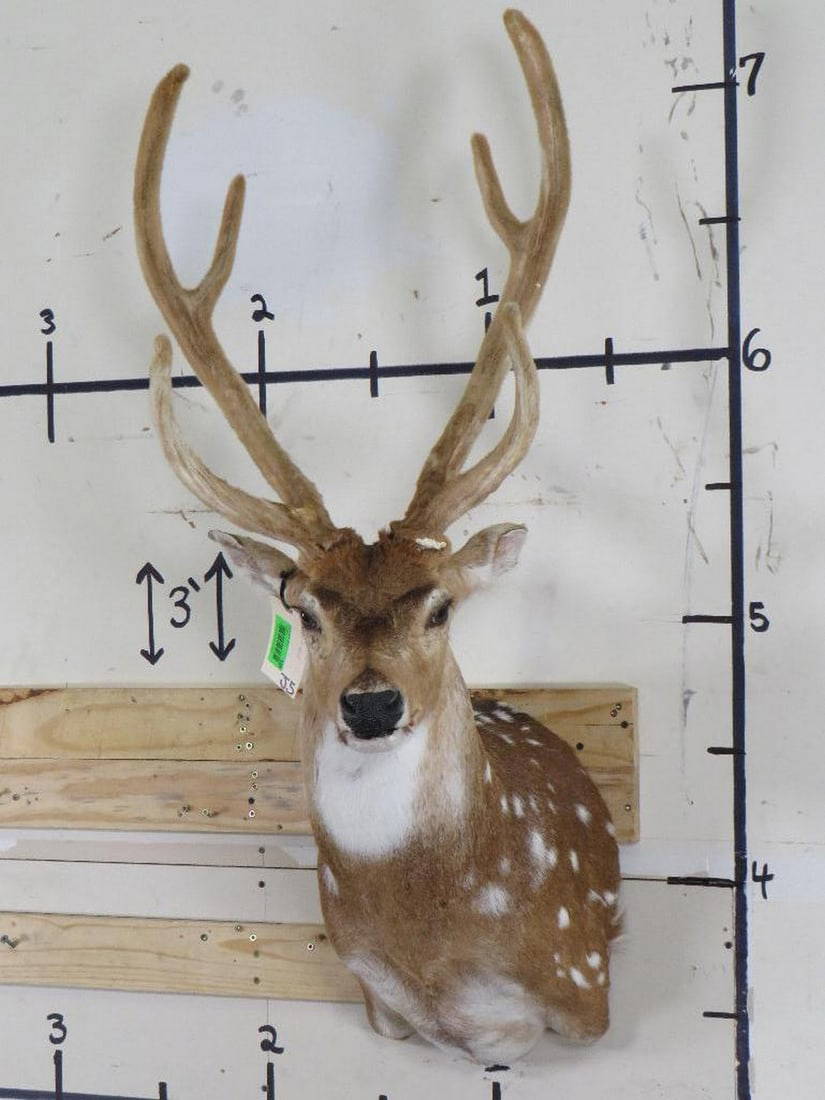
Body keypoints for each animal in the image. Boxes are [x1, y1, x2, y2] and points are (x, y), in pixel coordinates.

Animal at [133, 8, 620, 1065]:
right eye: (305, 611)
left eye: (439, 607)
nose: (369, 705)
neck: (429, 941)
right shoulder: (376, 1004)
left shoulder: (583, 985)